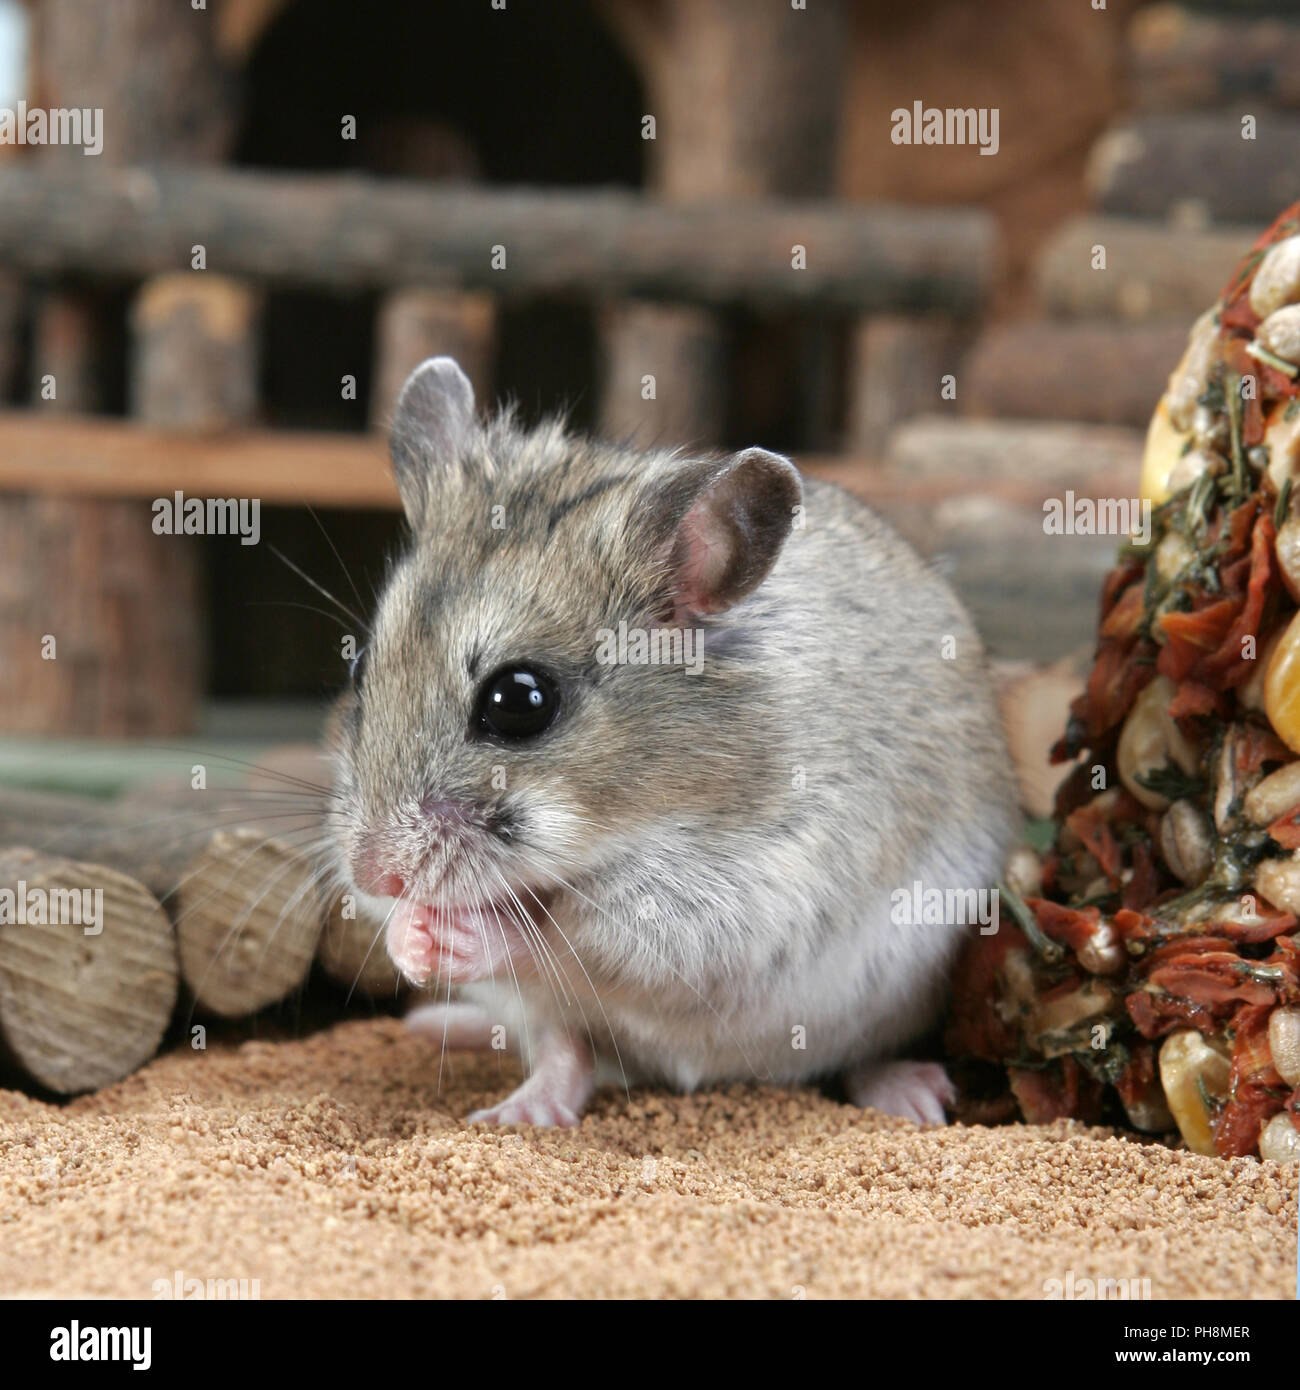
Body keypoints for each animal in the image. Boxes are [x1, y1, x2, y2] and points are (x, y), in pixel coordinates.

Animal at [328, 356, 1021, 1127]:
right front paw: (407, 937)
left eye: (520, 701)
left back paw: (917, 1096)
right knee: (566, 1052)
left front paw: (455, 932)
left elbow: (561, 933)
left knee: (862, 1056)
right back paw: (508, 1100)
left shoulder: (723, 905)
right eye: (359, 669)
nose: (372, 878)